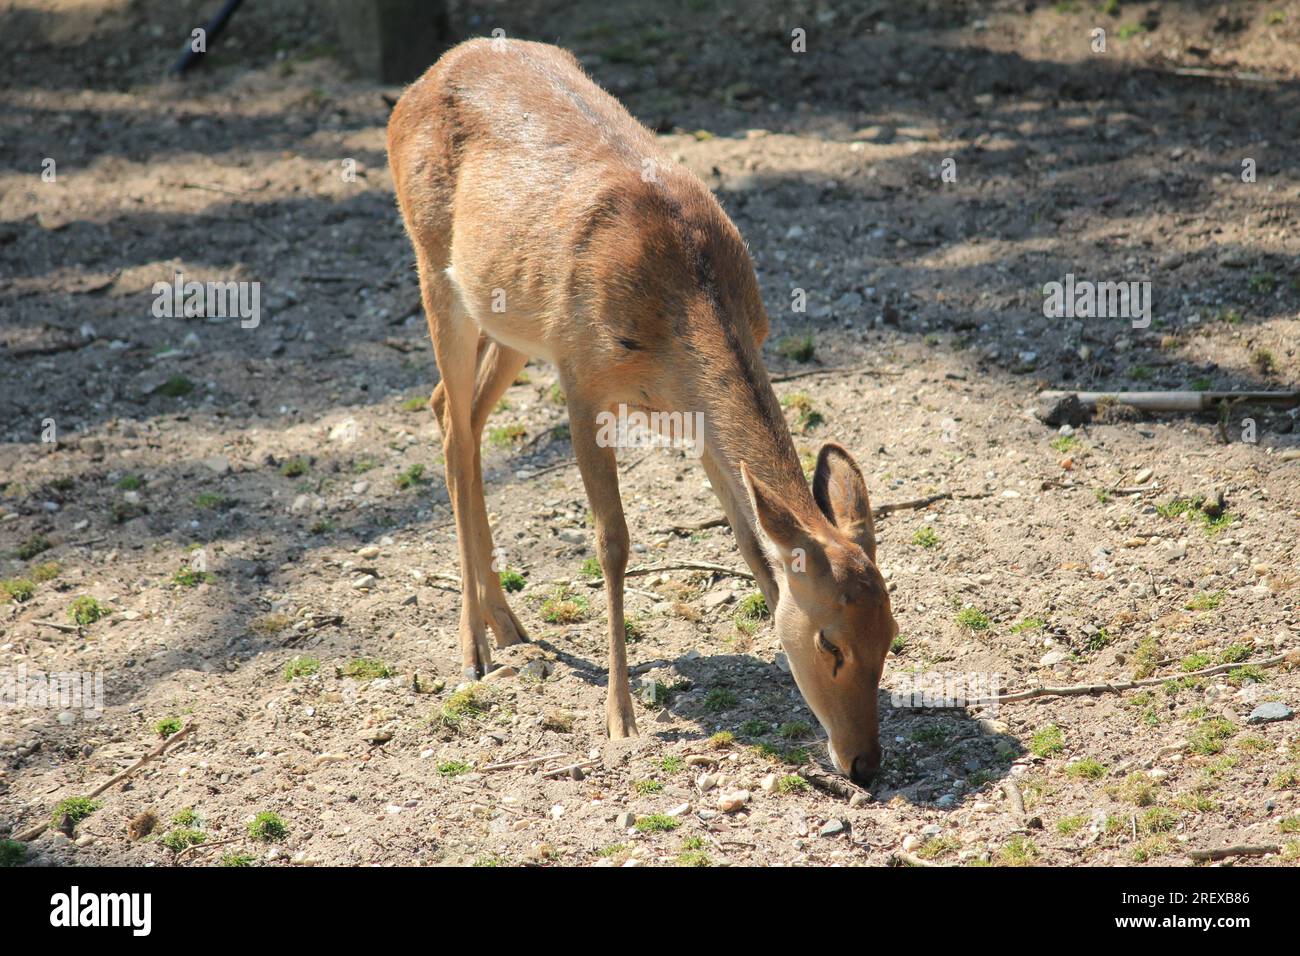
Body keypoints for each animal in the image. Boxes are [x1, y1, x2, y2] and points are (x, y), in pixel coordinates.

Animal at [387, 38, 898, 784]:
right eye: (832, 643)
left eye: (892, 633)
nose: (864, 763)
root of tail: (417, 84)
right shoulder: (581, 381)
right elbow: (613, 541)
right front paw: (620, 720)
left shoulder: (695, 416)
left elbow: (751, 540)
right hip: (435, 268)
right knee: (454, 426)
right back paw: (473, 647)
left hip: (513, 322)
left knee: (456, 413)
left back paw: (510, 626)